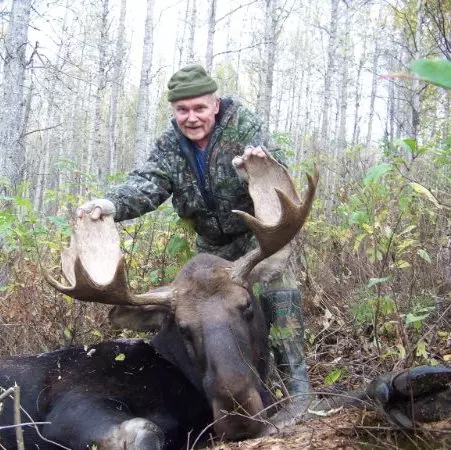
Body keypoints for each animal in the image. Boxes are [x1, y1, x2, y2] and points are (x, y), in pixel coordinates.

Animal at [0, 153, 451, 448]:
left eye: (246, 305)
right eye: (182, 327)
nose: (237, 415)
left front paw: (414, 385)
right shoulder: (66, 408)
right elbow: (147, 431)